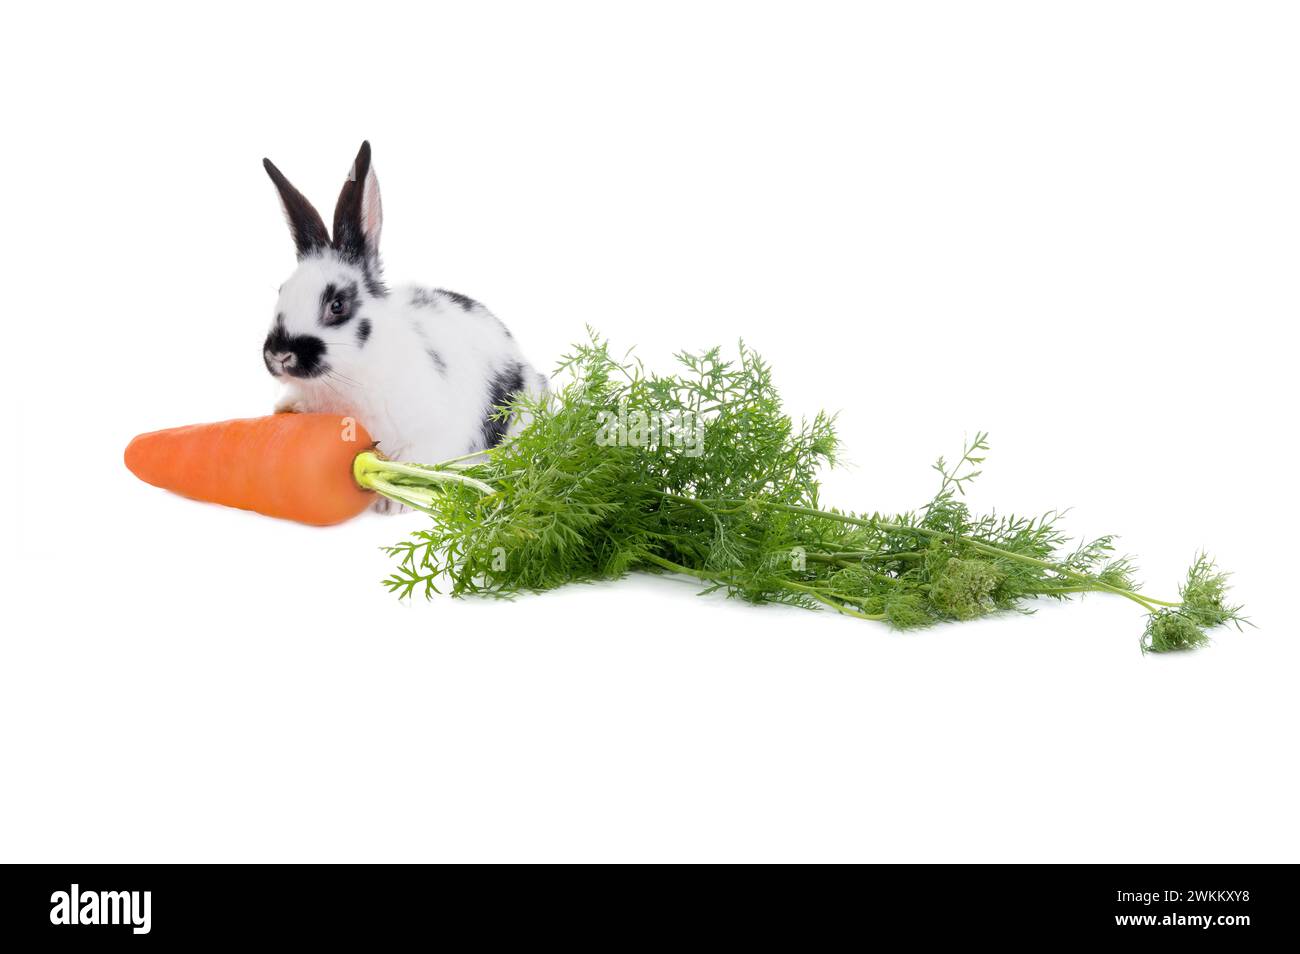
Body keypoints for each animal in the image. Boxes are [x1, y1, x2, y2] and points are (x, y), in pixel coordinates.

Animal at [261, 141, 548, 511]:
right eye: (281, 292)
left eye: (337, 305)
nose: (280, 354)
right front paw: (285, 408)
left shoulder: (432, 431)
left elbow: (413, 461)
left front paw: (390, 503)